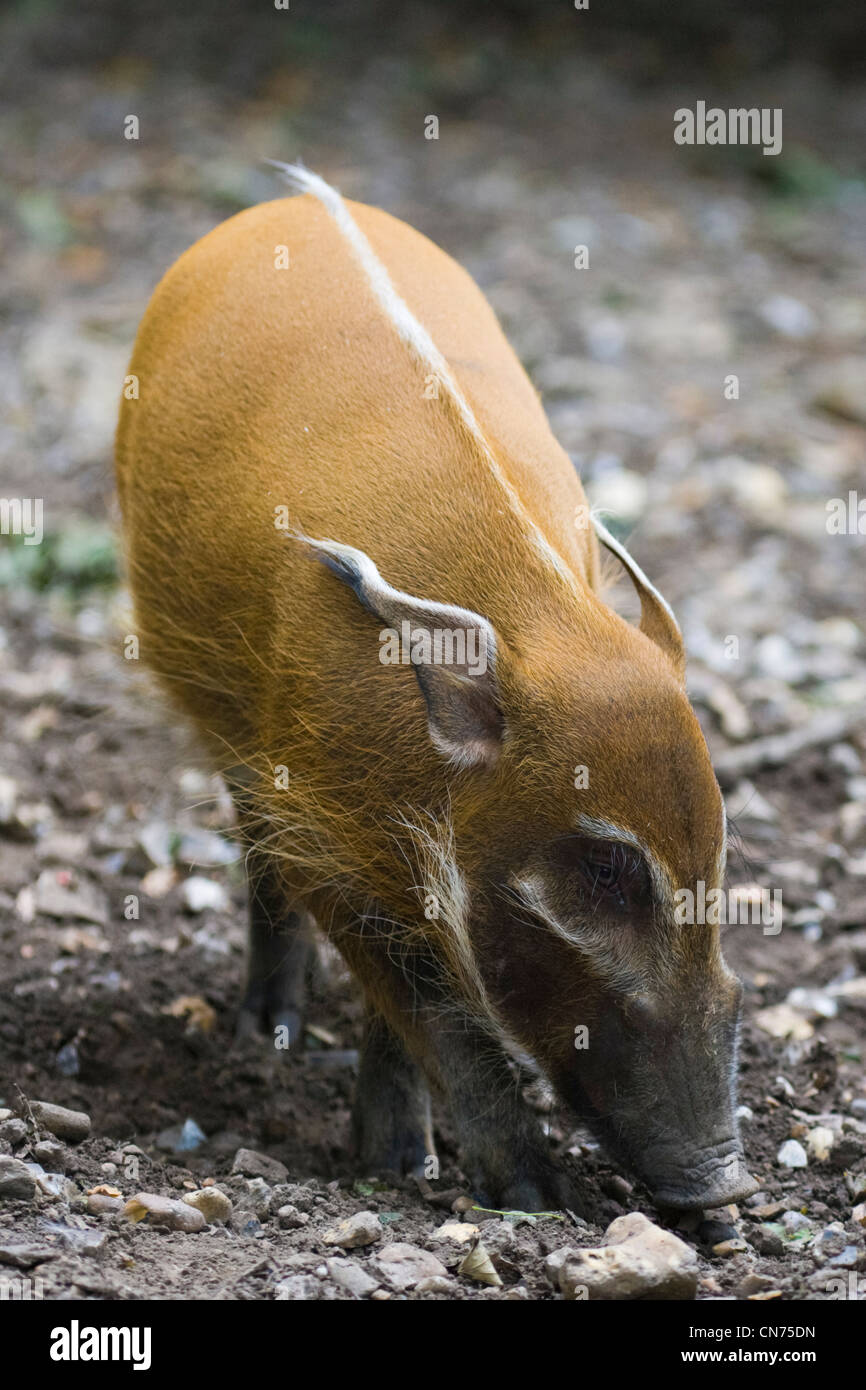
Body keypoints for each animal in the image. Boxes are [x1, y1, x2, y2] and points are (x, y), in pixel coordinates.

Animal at [115, 164, 757, 1213]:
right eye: (606, 868)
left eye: (718, 854)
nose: (724, 1187)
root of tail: (292, 196)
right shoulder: (322, 829)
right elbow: (437, 1009)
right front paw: (520, 1194)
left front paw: (404, 1163)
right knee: (256, 854)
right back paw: (266, 1032)